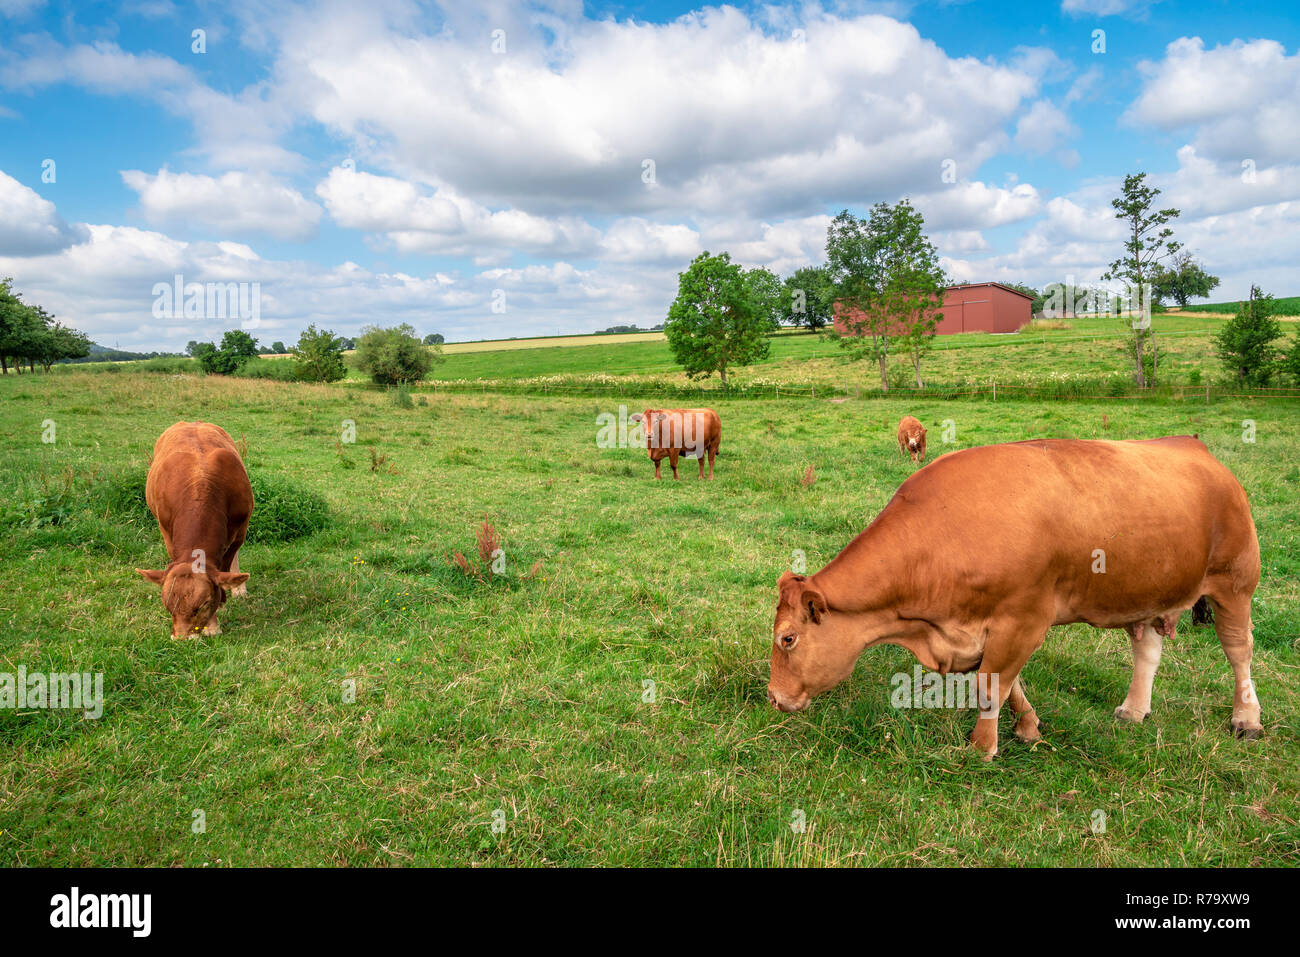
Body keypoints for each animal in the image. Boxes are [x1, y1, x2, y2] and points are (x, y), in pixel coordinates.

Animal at [136, 422, 253, 638]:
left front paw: (214, 622)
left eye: (204, 604)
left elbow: (224, 569)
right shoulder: (166, 530)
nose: (182, 638)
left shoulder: (240, 529)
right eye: (167, 605)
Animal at [767, 436, 1263, 758]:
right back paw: (1133, 710)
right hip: (1148, 592)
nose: (773, 698)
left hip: (1235, 583)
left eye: (788, 639)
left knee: (1239, 650)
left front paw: (981, 749)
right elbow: (1009, 683)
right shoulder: (991, 626)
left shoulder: (1024, 617)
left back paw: (1247, 719)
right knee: (1148, 650)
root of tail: (1195, 447)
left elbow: (992, 686)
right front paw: (1027, 727)